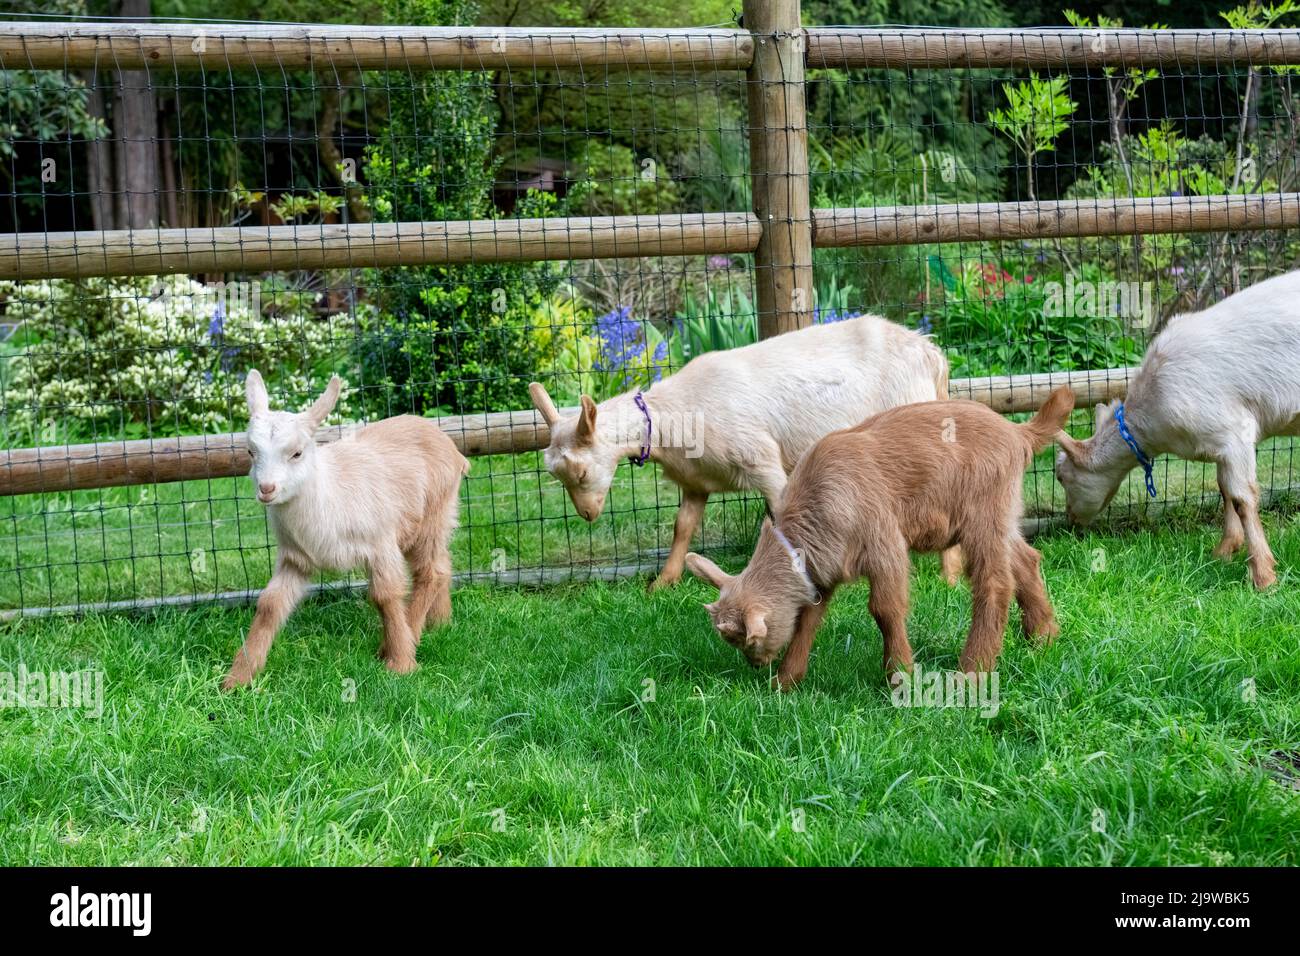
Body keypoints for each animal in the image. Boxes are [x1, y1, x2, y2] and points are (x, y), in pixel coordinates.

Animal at [222, 371, 469, 690]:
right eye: (251, 451)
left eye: (297, 453)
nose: (267, 489)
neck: (328, 495)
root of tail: (452, 448)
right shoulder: (295, 557)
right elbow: (270, 603)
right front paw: (238, 678)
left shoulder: (380, 543)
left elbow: (385, 596)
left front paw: (400, 663)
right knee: (442, 562)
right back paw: (439, 622)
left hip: (434, 513)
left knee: (432, 571)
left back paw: (411, 632)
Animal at [529, 314, 961, 590]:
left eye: (580, 473)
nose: (587, 515)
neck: (673, 414)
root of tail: (931, 354)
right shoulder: (696, 480)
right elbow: (682, 527)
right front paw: (663, 584)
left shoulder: (763, 461)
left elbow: (782, 515)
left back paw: (951, 577)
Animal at [686, 387, 1075, 691]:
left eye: (742, 639)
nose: (755, 665)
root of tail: (1018, 433)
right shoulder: (823, 570)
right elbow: (808, 618)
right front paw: (786, 682)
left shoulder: (884, 544)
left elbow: (885, 609)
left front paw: (900, 675)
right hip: (1000, 518)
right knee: (1025, 560)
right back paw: (1042, 637)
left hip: (983, 516)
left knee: (994, 582)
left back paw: (973, 670)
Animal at [1056, 270, 1300, 589]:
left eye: (1060, 477)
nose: (1070, 520)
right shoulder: (1220, 445)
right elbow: (1224, 491)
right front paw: (1224, 551)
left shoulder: (1234, 431)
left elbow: (1241, 498)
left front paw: (1263, 575)